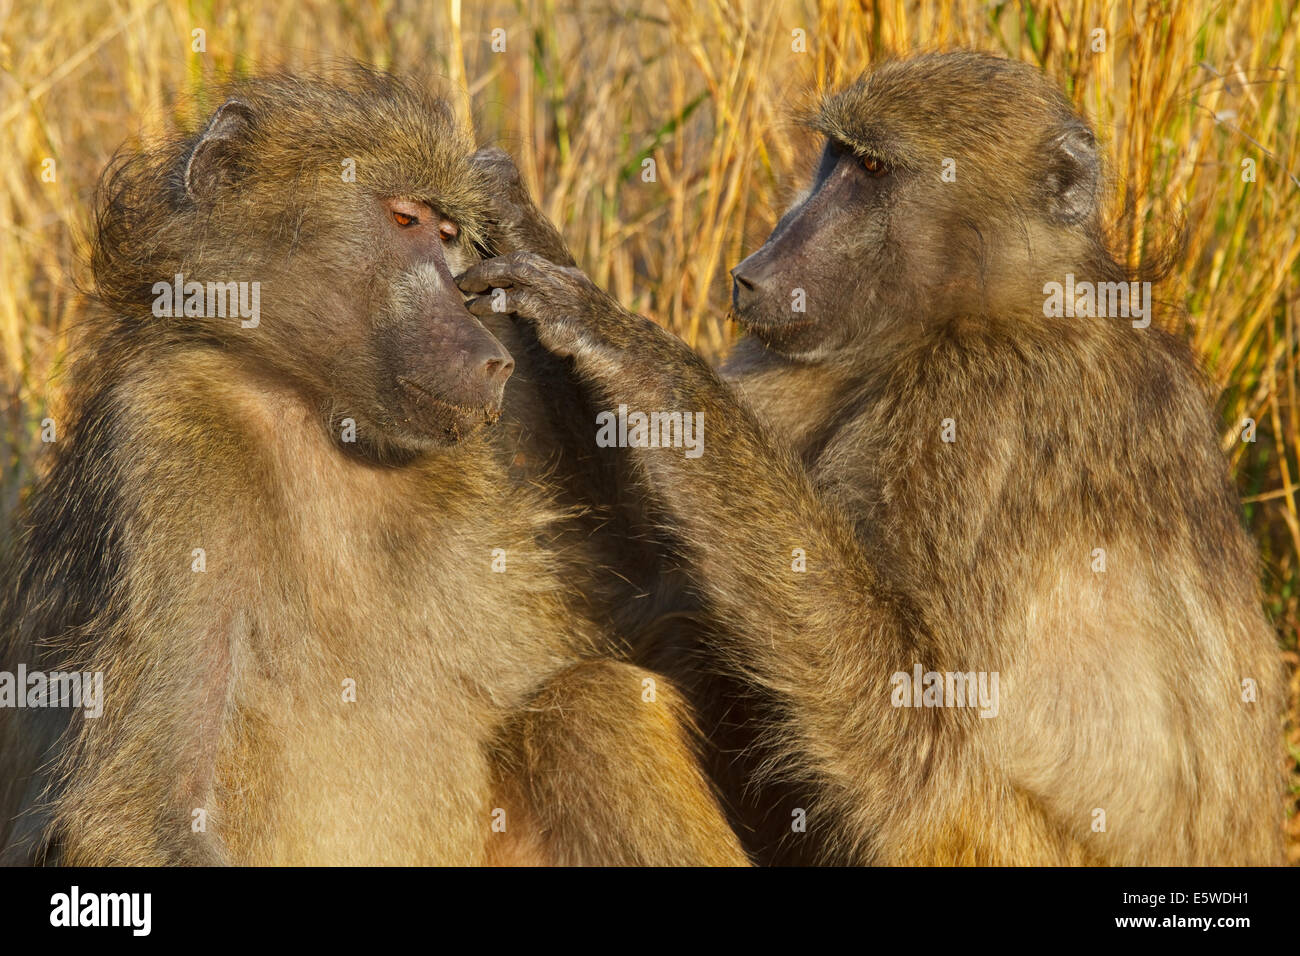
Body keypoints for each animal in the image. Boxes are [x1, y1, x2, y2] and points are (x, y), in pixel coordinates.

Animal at [0, 70, 749, 866]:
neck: (318, 413)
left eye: (449, 237)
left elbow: (659, 612)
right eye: (404, 220)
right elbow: (137, 803)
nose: (492, 355)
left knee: (595, 707)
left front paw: (553, 270)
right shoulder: (164, 434)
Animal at [457, 51, 1288, 866]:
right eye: (834, 155)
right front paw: (521, 225)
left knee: (591, 714)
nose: (758, 263)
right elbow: (651, 585)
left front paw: (635, 349)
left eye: (874, 170)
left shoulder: (979, 414)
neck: (998, 303)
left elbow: (917, 737)